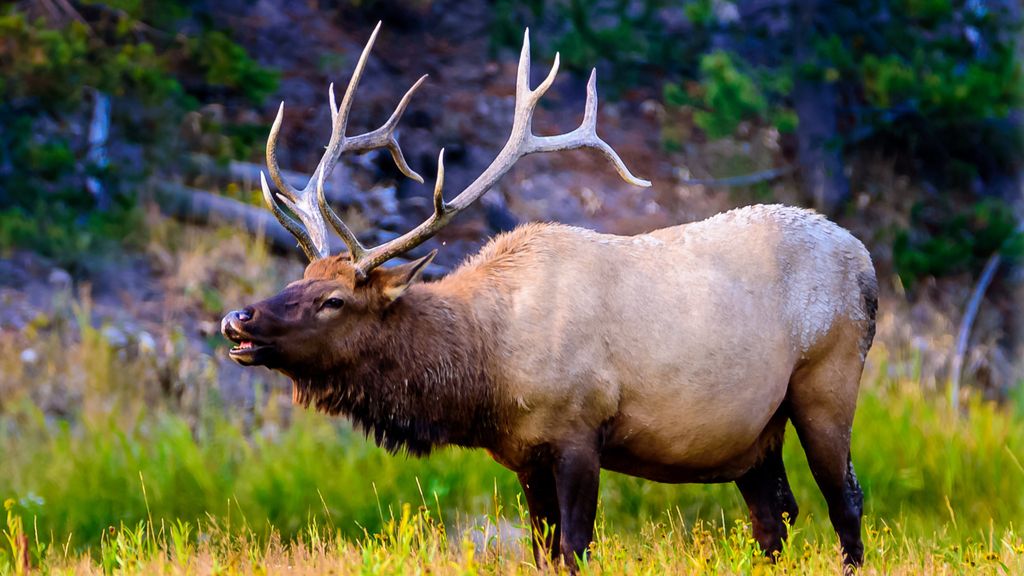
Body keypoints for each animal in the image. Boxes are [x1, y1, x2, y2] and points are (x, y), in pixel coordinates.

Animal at [221, 23, 877, 570]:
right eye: (299, 280)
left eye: (334, 300)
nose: (237, 318)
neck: (488, 371)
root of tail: (867, 265)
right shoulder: (524, 455)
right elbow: (542, 553)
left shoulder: (579, 430)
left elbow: (575, 548)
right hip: (754, 434)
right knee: (775, 519)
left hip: (826, 381)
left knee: (845, 500)